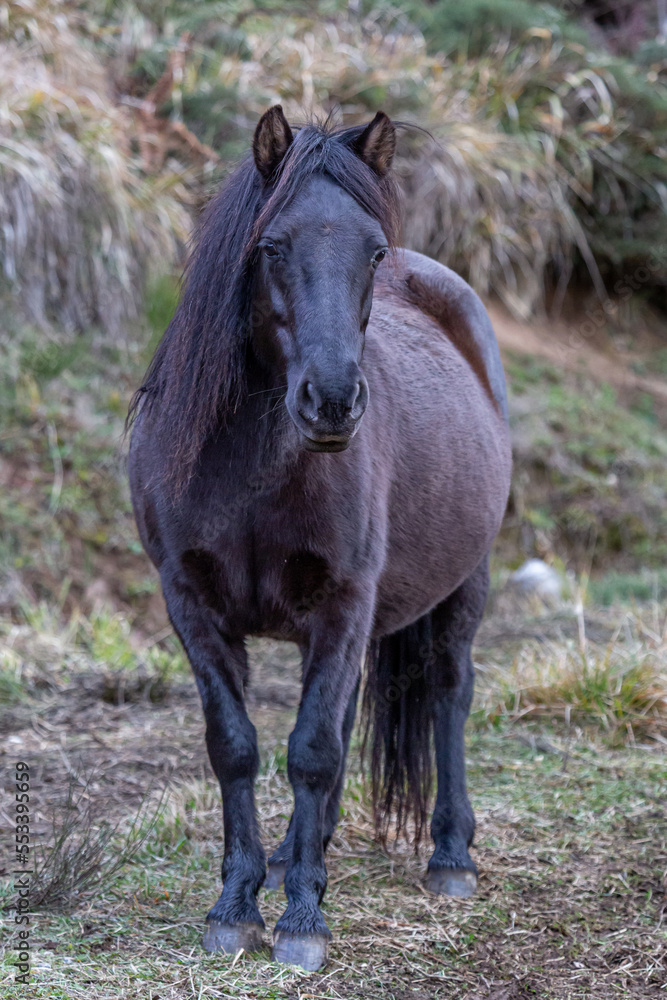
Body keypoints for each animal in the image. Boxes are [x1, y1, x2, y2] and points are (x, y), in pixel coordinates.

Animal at [128, 106, 512, 972]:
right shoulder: (190, 602)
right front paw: (238, 904)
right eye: (271, 247)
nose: (333, 401)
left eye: (370, 250)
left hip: (464, 584)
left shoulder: (342, 603)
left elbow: (310, 750)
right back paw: (299, 856)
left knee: (449, 693)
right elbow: (236, 746)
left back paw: (449, 856)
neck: (249, 468)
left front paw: (302, 920)